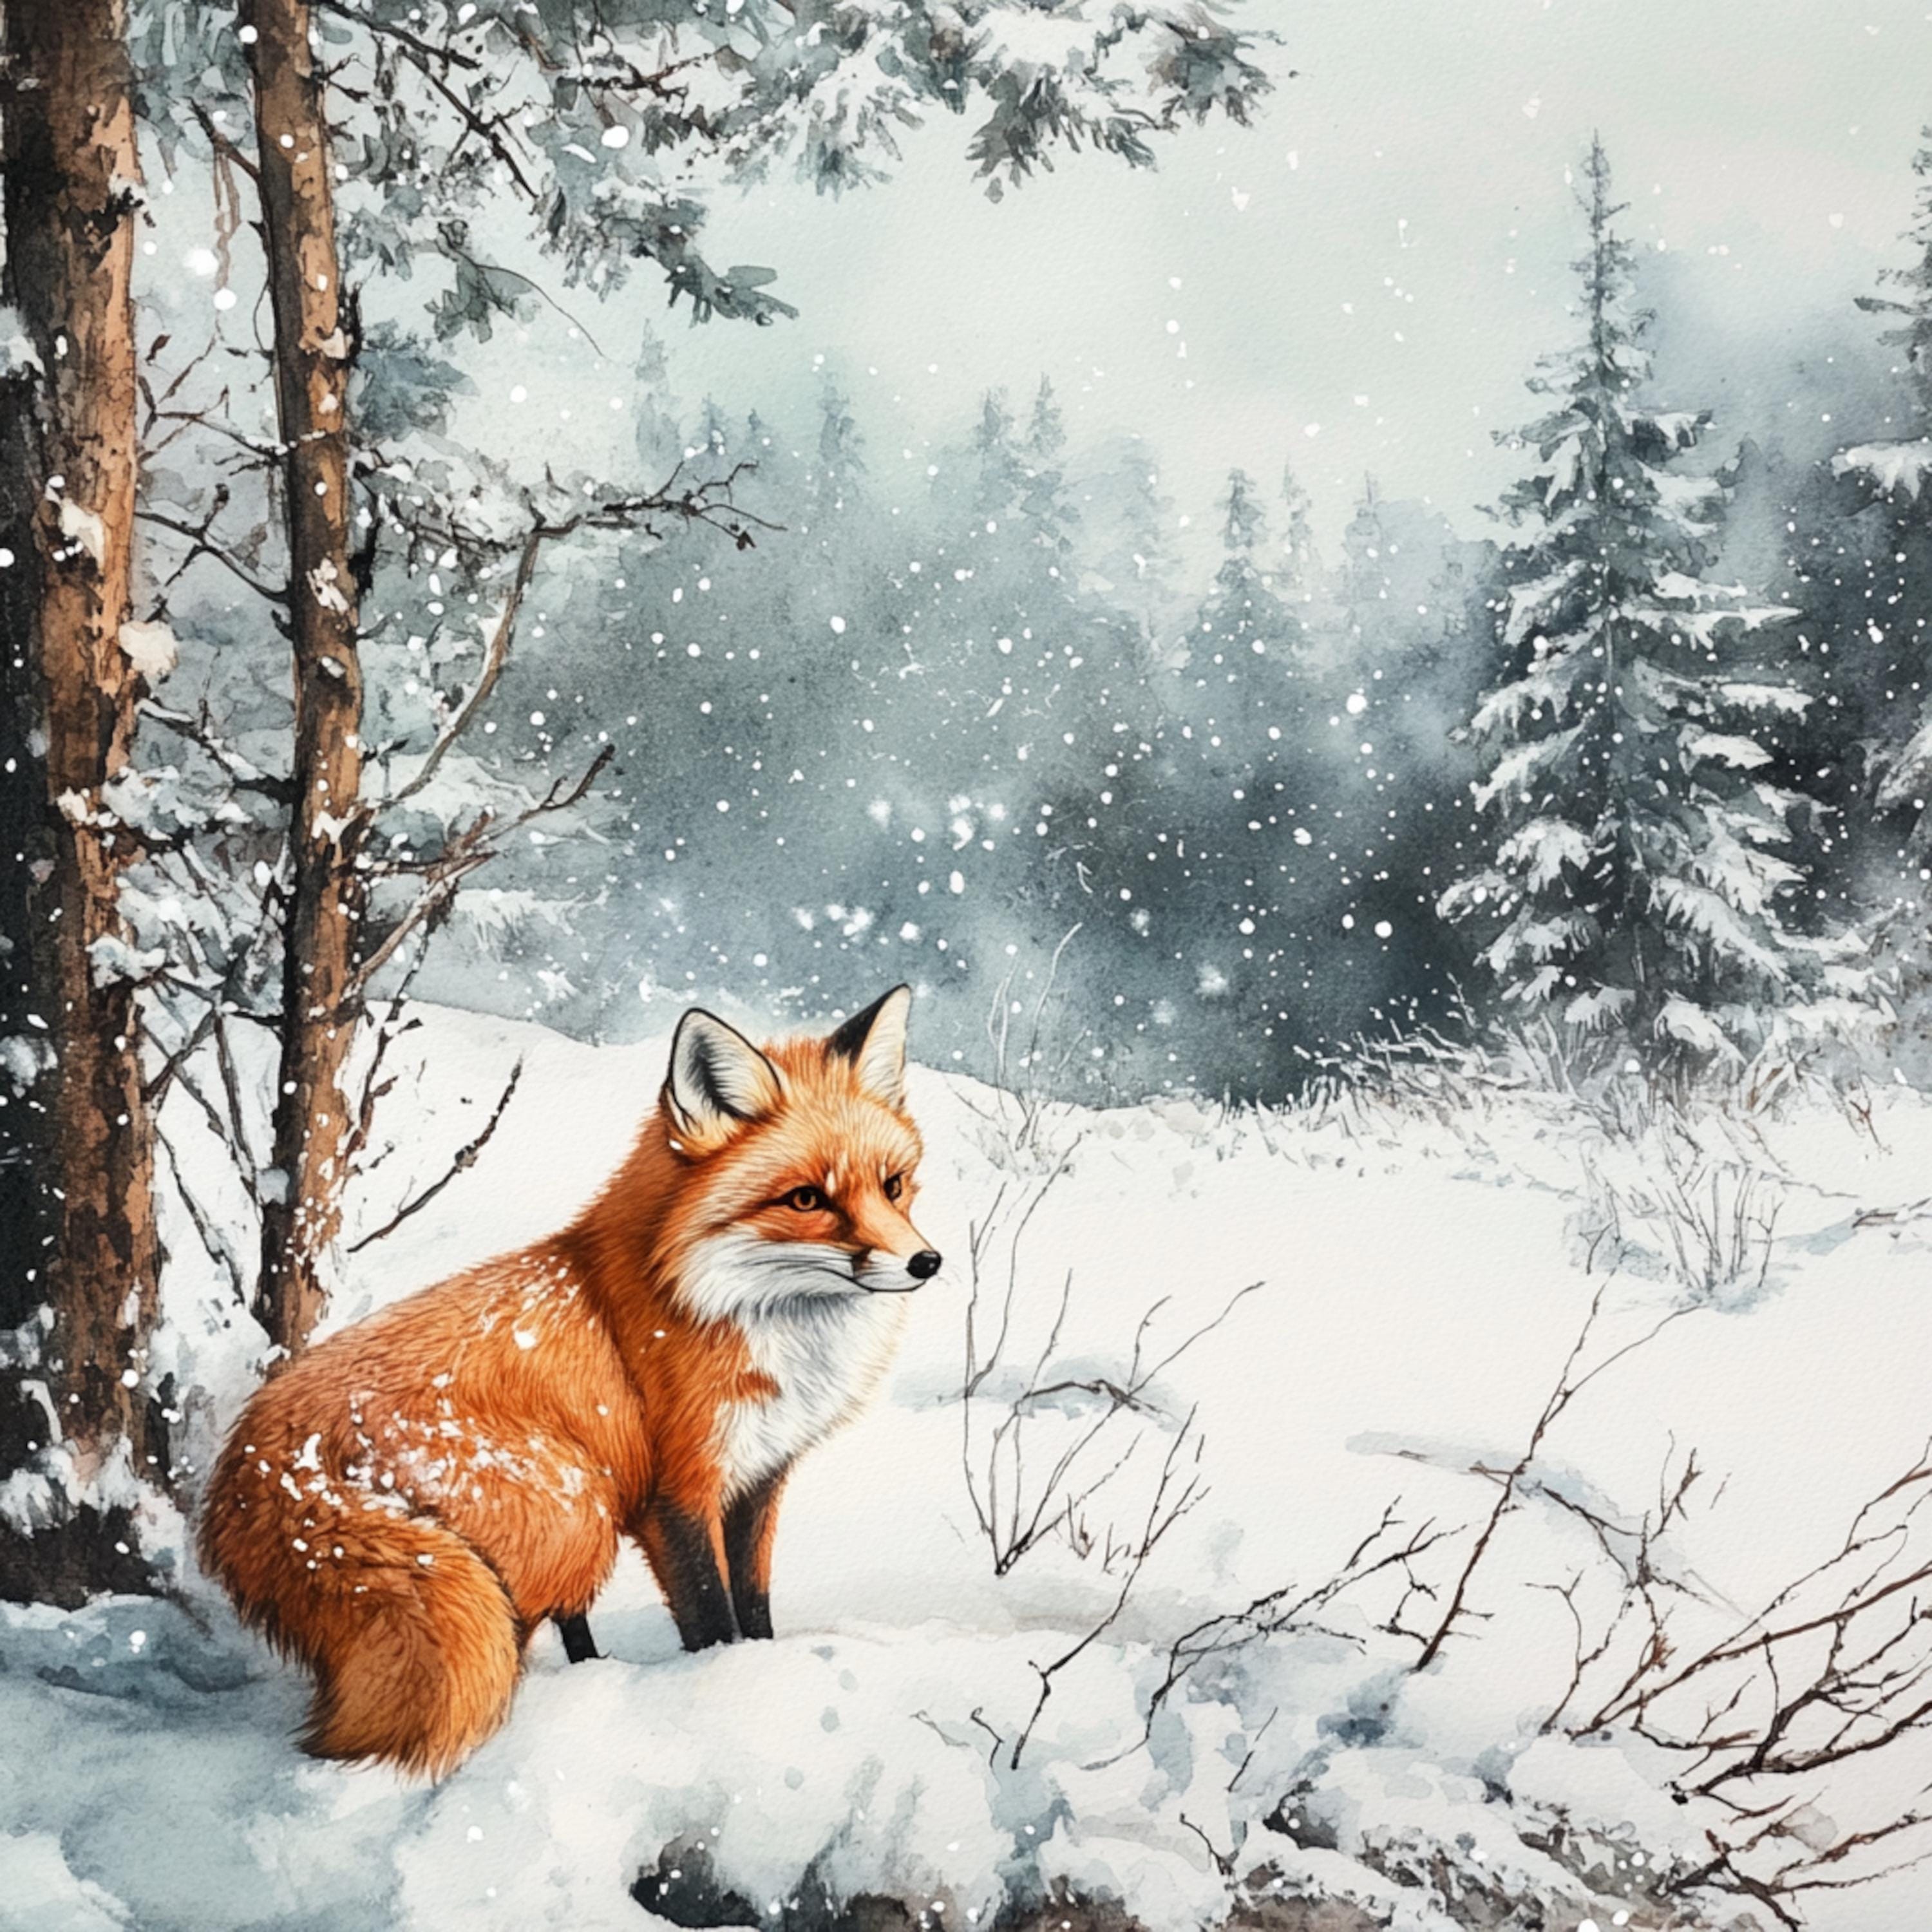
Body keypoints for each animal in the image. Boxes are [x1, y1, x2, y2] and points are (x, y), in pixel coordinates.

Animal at [198, 986, 939, 1778]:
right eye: (806, 1200)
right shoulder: (676, 1489)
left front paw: (760, 1670)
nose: (927, 1263)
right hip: (572, 1504)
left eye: (893, 1186)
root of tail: (257, 1455)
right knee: (524, 1624)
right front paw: (715, 1696)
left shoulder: (758, 1479)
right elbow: (710, 1613)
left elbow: (755, 1600)